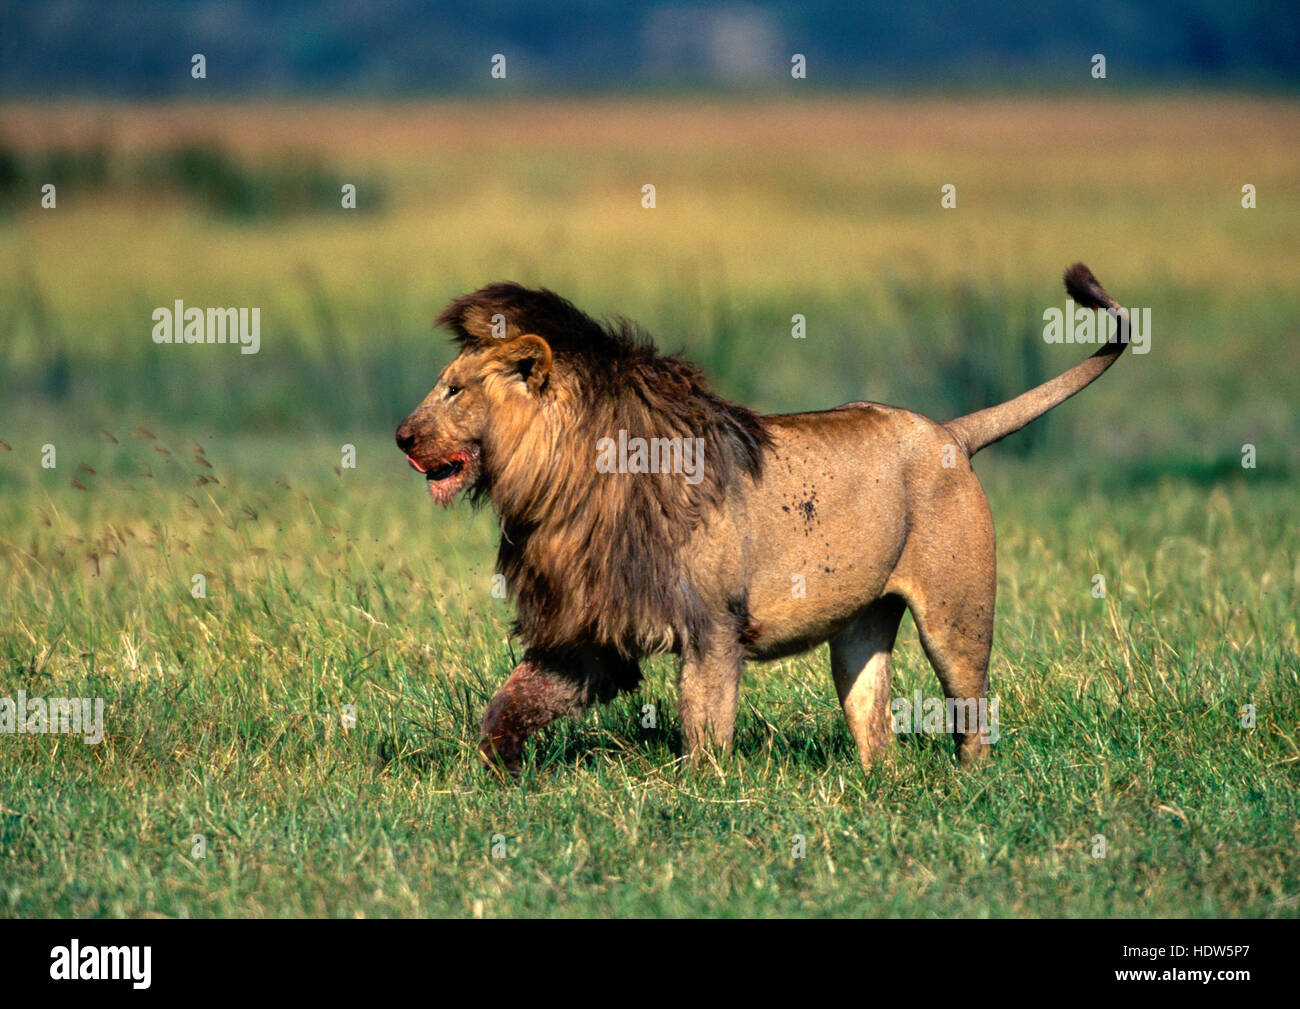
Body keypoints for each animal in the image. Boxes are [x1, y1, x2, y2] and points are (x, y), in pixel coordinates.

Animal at [395, 264, 1131, 774]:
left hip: (957, 616)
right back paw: (879, 783)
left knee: (971, 707)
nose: (402, 436)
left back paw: (970, 782)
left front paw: (701, 794)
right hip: (861, 626)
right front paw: (497, 766)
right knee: (873, 715)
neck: (561, 487)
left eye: (454, 390)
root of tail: (949, 430)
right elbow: (514, 699)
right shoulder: (589, 630)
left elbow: (704, 725)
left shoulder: (713, 625)